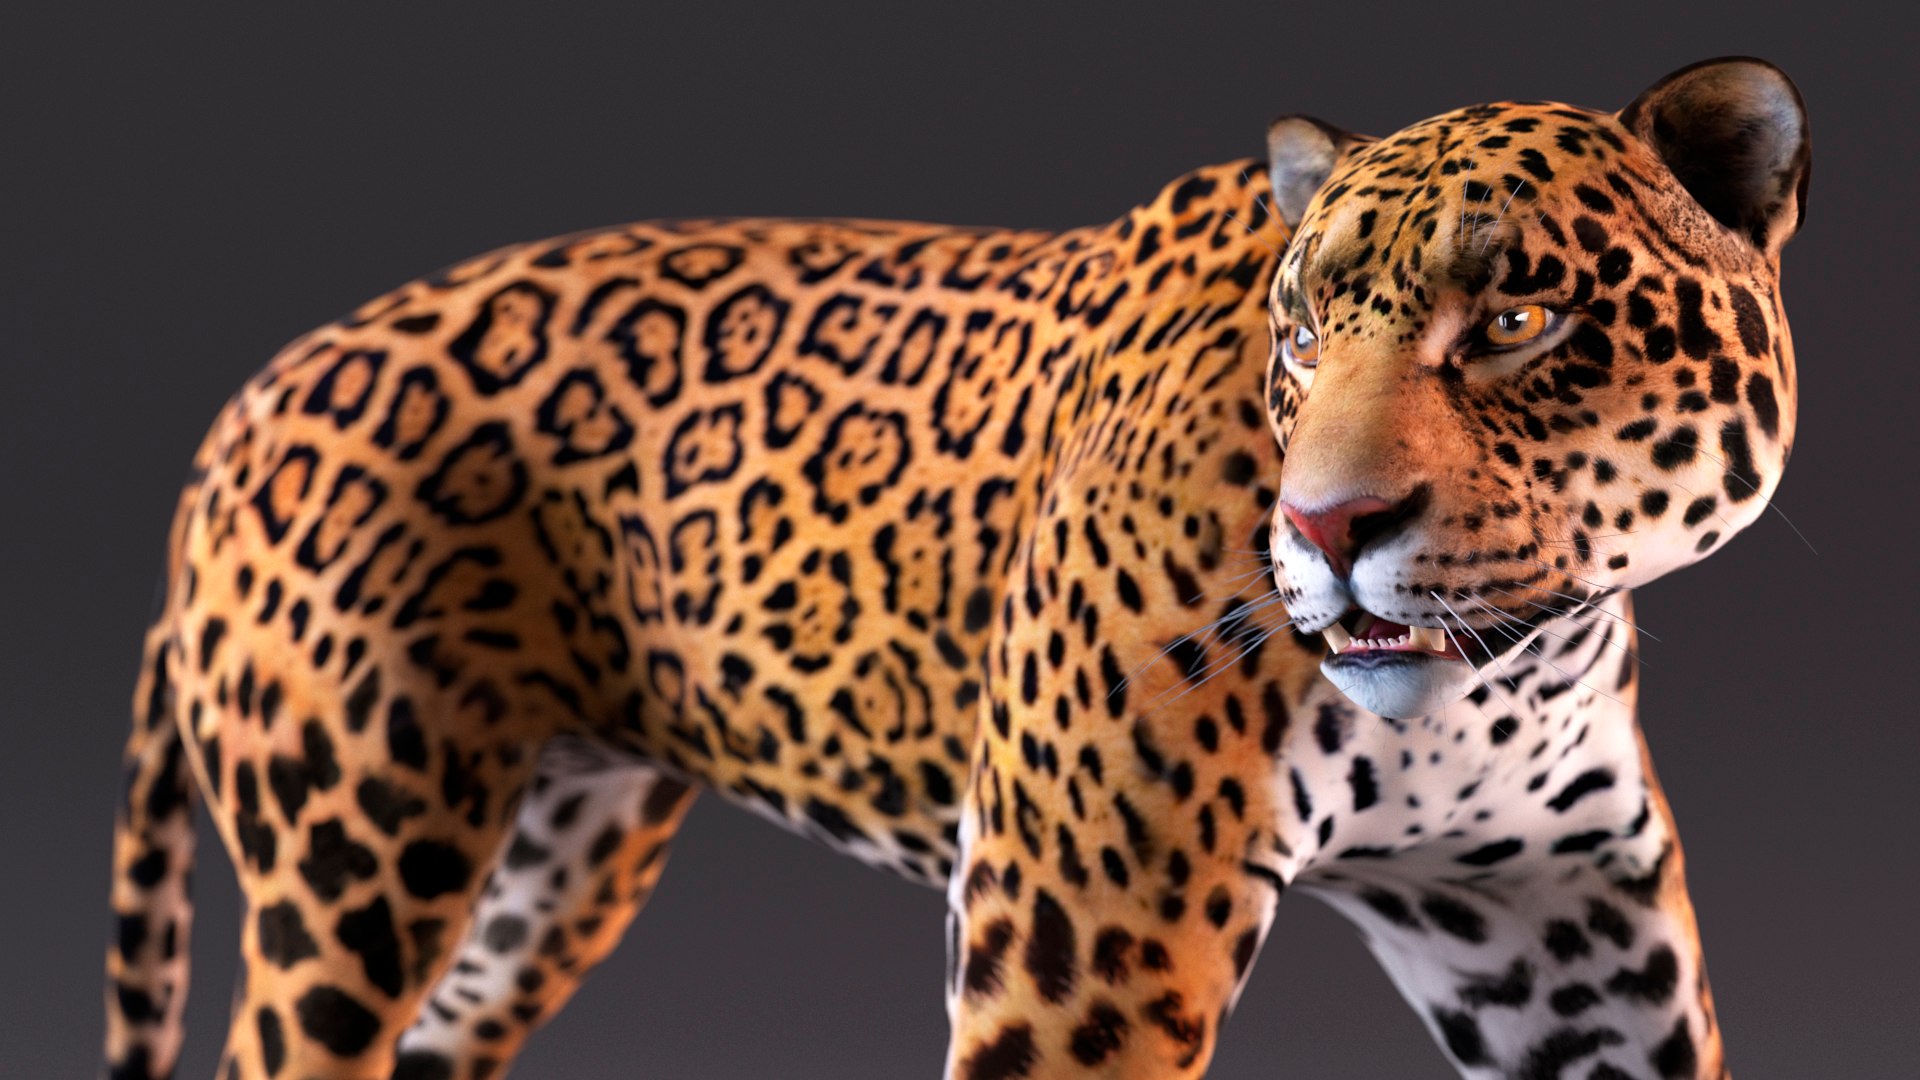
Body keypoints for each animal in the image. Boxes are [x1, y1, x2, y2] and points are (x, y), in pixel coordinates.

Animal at [103, 57, 1809, 1079]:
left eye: (1516, 321)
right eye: (1304, 336)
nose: (1331, 532)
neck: (1504, 680)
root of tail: (240, 414)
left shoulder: (1558, 928)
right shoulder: (1087, 936)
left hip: (550, 862)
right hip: (354, 862)